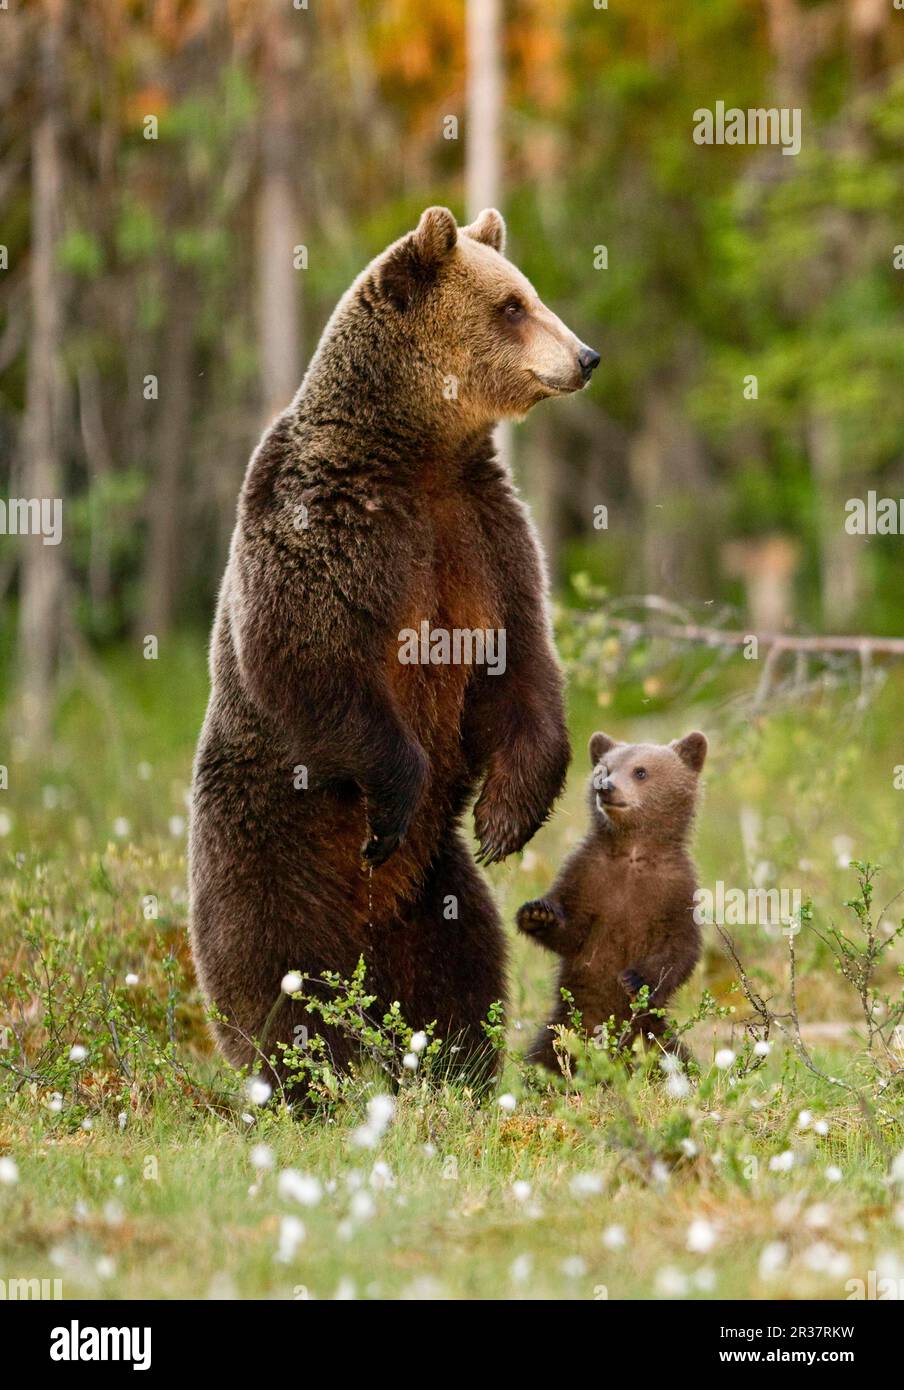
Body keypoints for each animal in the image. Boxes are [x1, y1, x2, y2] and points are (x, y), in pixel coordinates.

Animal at [188, 205, 600, 1090]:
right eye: (512, 306)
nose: (585, 356)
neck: (417, 453)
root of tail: (365, 944)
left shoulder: (481, 533)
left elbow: (522, 663)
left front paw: (506, 818)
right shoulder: (326, 525)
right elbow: (304, 658)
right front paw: (396, 794)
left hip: (434, 889)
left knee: (464, 964)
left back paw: (456, 1068)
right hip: (264, 852)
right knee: (276, 981)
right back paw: (314, 1081)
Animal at [516, 729, 708, 1073]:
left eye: (640, 771)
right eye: (603, 769)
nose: (605, 787)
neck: (633, 852)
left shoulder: (676, 890)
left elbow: (681, 947)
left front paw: (636, 978)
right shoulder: (587, 876)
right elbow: (572, 930)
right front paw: (538, 915)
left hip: (652, 1036)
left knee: (678, 1058)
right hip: (564, 1029)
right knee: (544, 1057)